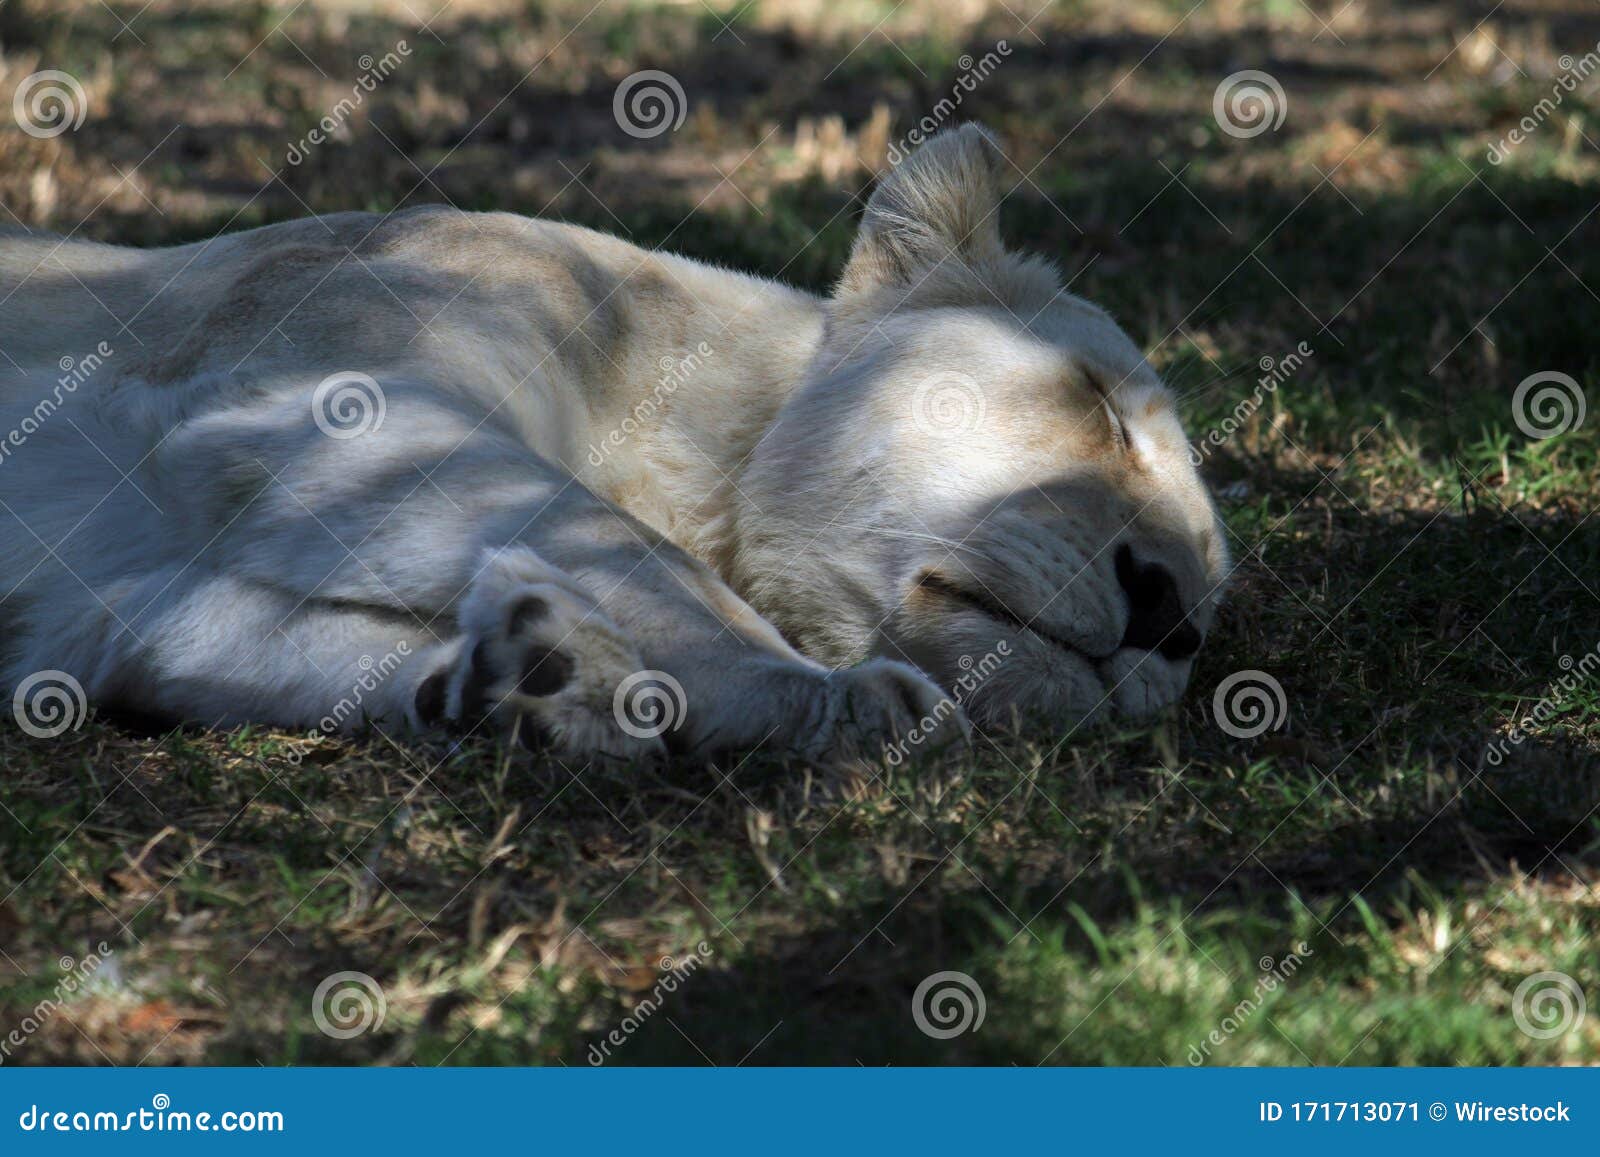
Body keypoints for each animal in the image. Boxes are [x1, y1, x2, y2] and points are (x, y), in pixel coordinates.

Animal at [0, 125, 1226, 763]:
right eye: (1099, 407)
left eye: (1212, 610)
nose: (1167, 613)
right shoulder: (310, 397)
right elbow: (637, 553)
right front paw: (854, 700)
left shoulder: (121, 600)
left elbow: (220, 640)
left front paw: (522, 683)